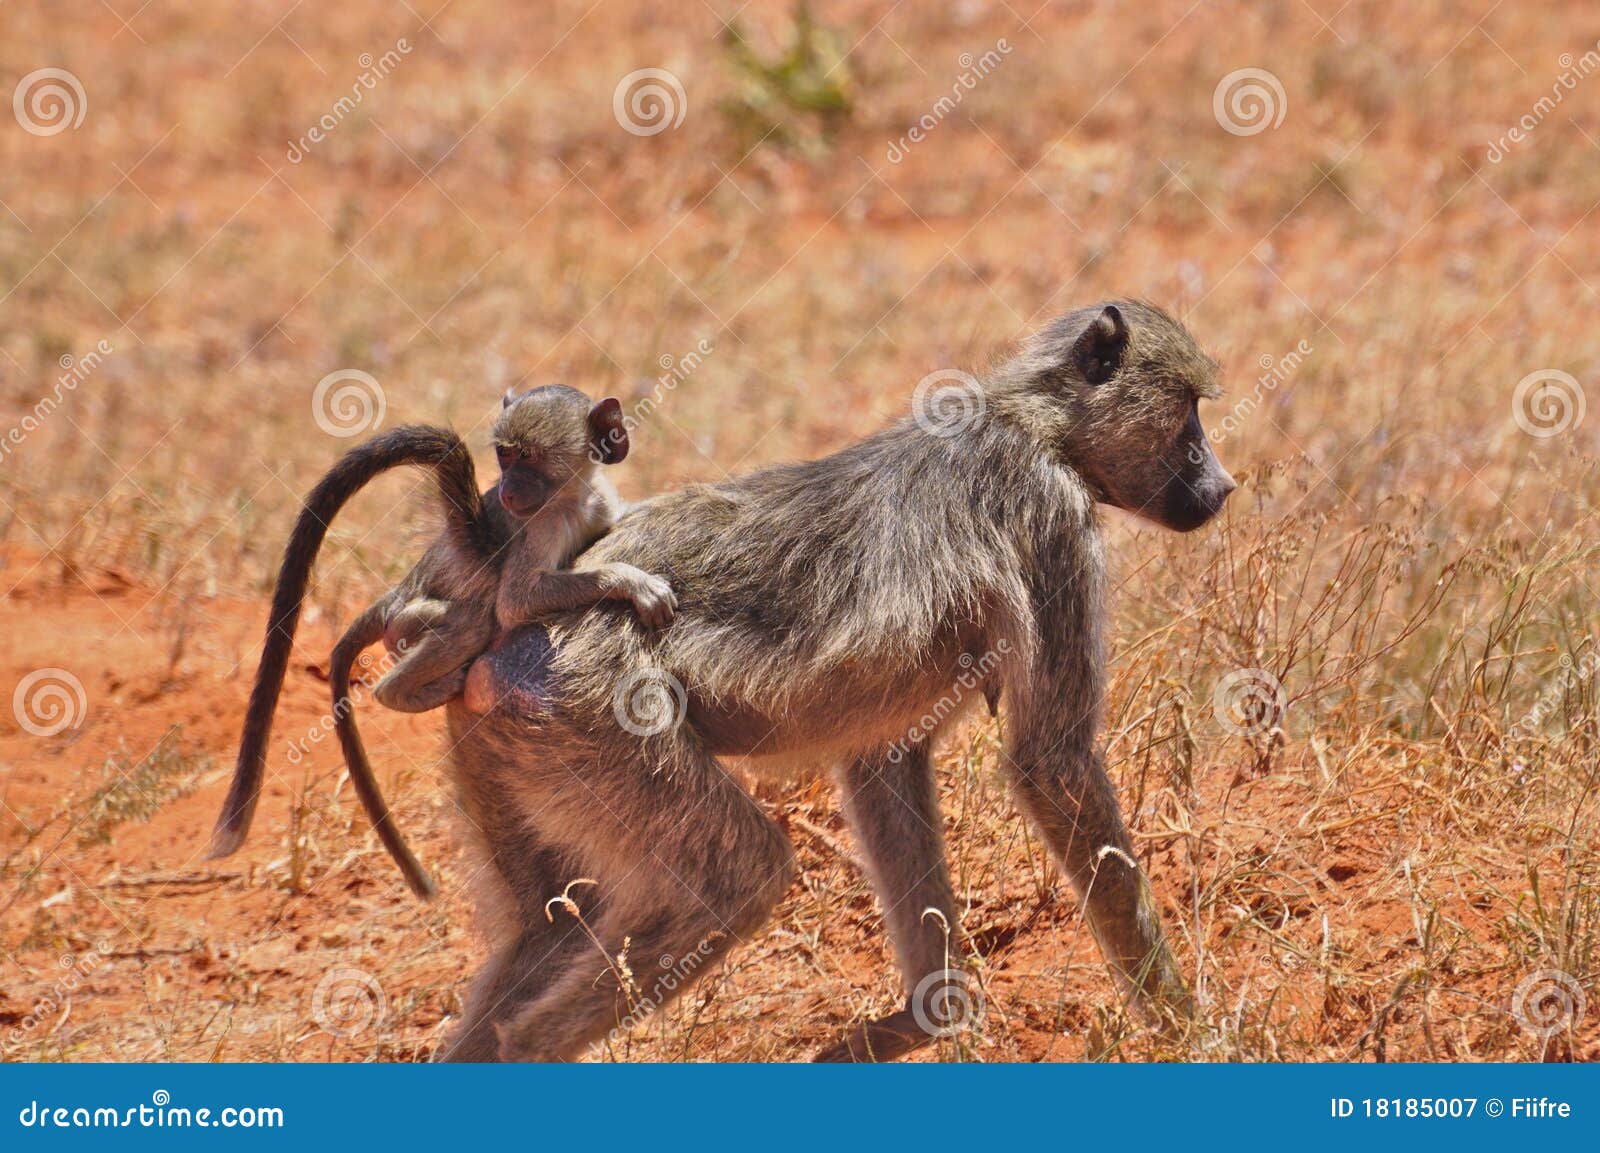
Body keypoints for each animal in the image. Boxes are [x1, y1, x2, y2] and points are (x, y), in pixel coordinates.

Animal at [210, 385, 676, 900]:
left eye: (529, 457)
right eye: (505, 454)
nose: (508, 490)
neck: (572, 496)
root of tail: (397, 594)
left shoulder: (596, 505)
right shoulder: (542, 525)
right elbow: (515, 602)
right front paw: (632, 582)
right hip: (406, 626)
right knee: (473, 620)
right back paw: (400, 691)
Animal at [420, 300, 1236, 1062]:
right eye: (1188, 409)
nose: (1223, 484)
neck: (1037, 423)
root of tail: (501, 632)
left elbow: (883, 762)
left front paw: (925, 1016)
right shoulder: (1052, 518)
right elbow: (1053, 763)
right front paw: (1185, 1028)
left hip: (517, 744)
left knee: (553, 924)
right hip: (593, 703)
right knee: (733, 879)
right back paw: (533, 1040)